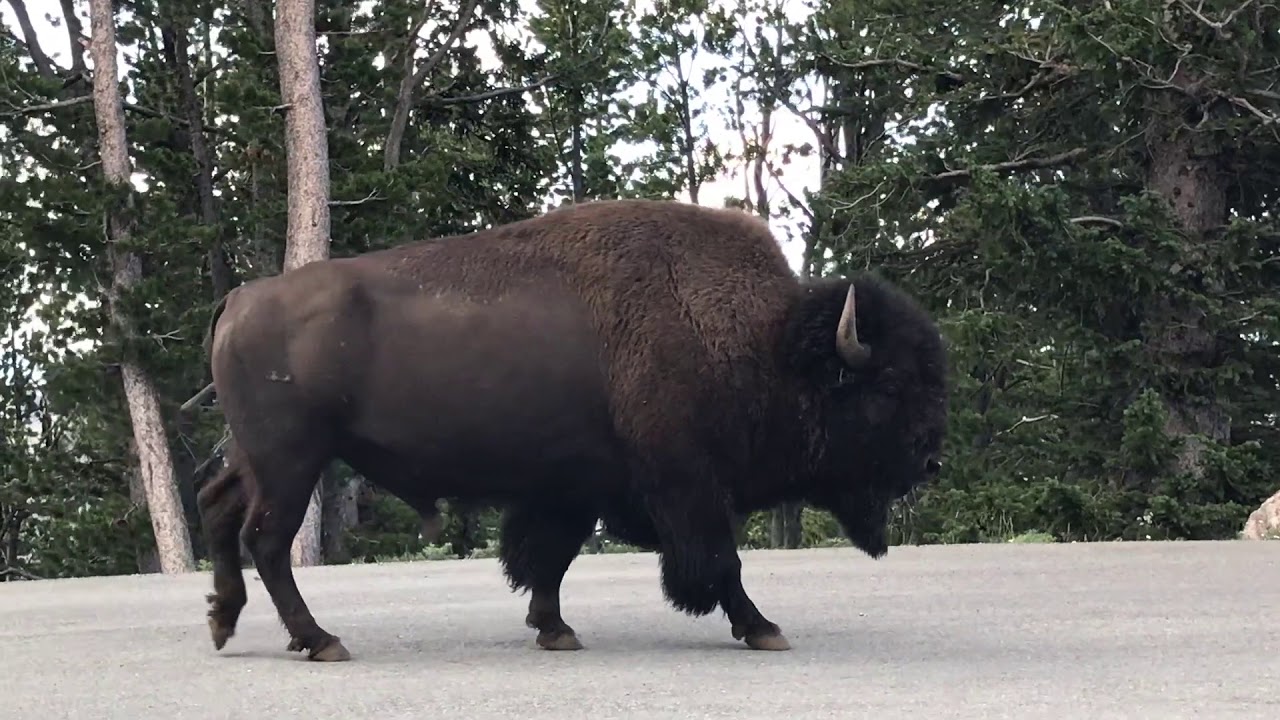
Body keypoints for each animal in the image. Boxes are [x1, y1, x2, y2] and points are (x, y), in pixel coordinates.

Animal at [194, 198, 948, 661]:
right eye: (888, 387)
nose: (930, 459)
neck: (766, 341)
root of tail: (240, 299)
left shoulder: (576, 489)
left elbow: (548, 560)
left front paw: (554, 630)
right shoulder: (687, 486)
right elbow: (719, 562)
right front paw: (763, 628)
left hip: (258, 458)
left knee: (219, 508)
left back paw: (224, 621)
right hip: (293, 461)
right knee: (267, 541)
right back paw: (322, 640)